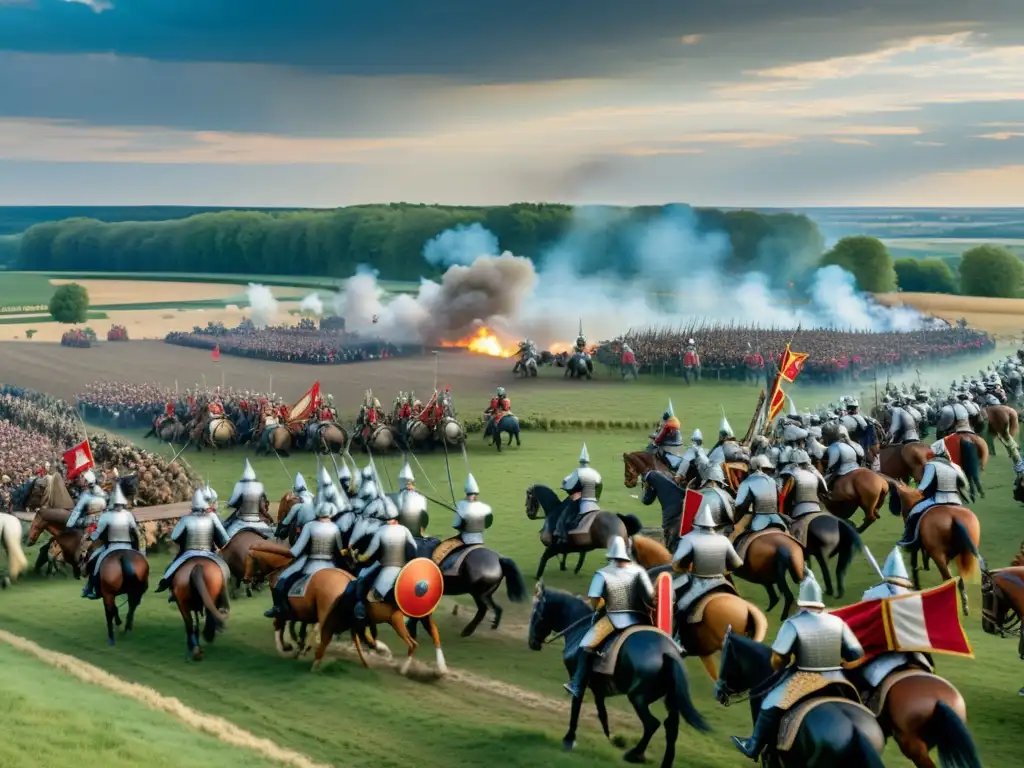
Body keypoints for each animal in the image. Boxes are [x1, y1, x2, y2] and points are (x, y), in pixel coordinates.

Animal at [528, 581, 712, 765]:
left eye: (536, 613)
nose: (532, 642)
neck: (580, 628)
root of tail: (667, 652)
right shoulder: (596, 685)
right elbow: (600, 707)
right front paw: (607, 732)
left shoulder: (579, 678)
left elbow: (576, 705)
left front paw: (569, 739)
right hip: (670, 699)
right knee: (671, 727)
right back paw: (665, 761)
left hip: (638, 697)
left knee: (652, 724)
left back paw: (635, 754)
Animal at [888, 483, 983, 618]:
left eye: (892, 493)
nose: (892, 509)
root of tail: (953, 517)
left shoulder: (916, 547)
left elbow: (914, 565)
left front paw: (917, 586)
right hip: (962, 555)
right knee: (959, 579)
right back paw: (965, 607)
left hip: (938, 555)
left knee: (948, 579)